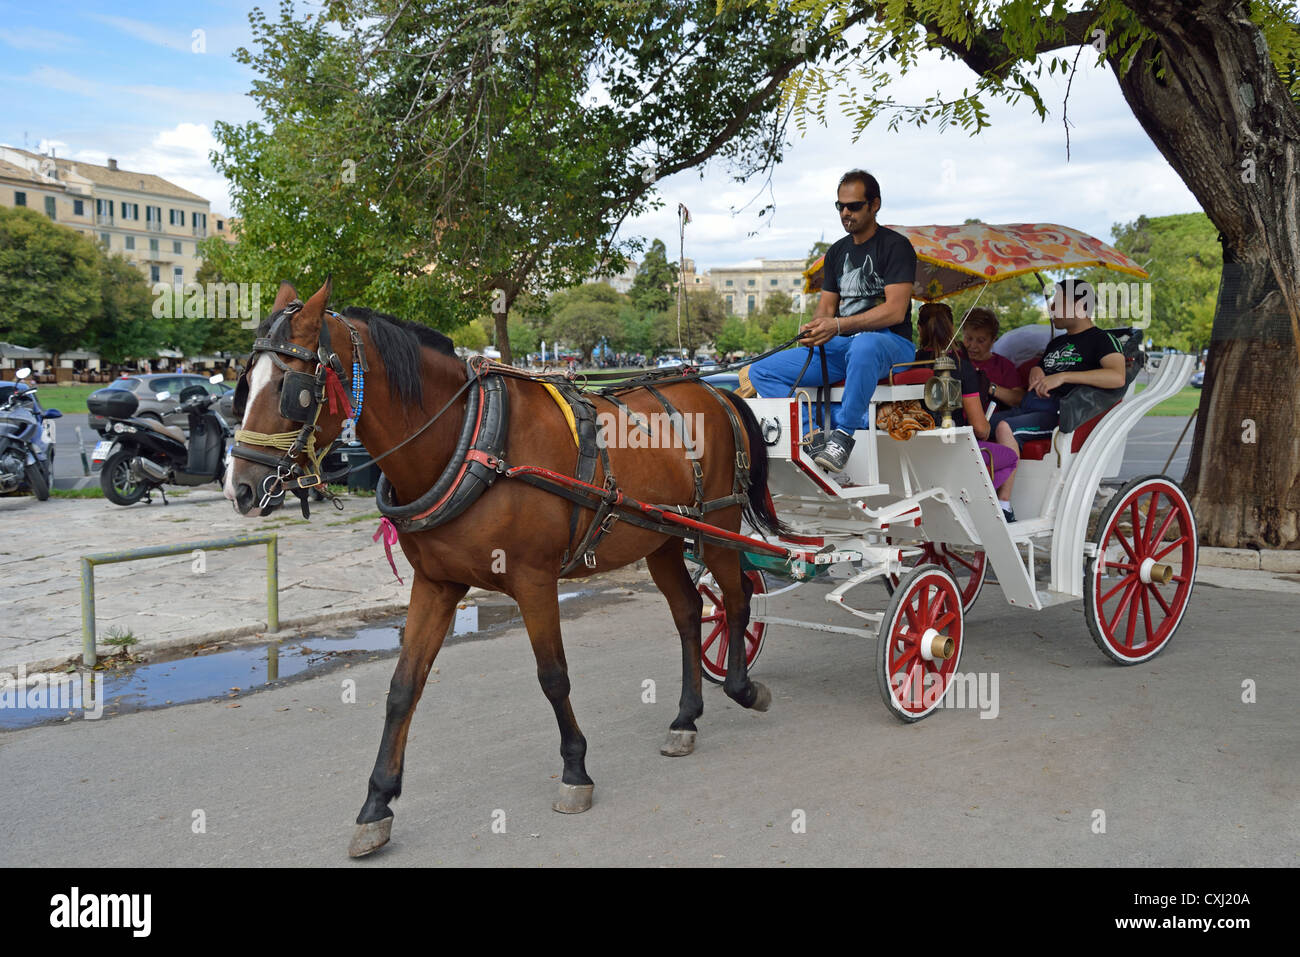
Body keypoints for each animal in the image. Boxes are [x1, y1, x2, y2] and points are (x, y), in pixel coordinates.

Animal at [225, 280, 788, 857]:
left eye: (291, 389)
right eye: (244, 385)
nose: (238, 487)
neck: (469, 439)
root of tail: (713, 390)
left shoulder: (534, 581)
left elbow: (553, 676)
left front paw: (575, 771)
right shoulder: (437, 584)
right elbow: (403, 687)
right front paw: (377, 804)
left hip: (716, 525)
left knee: (737, 599)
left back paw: (742, 687)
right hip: (662, 539)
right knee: (690, 612)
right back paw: (685, 717)